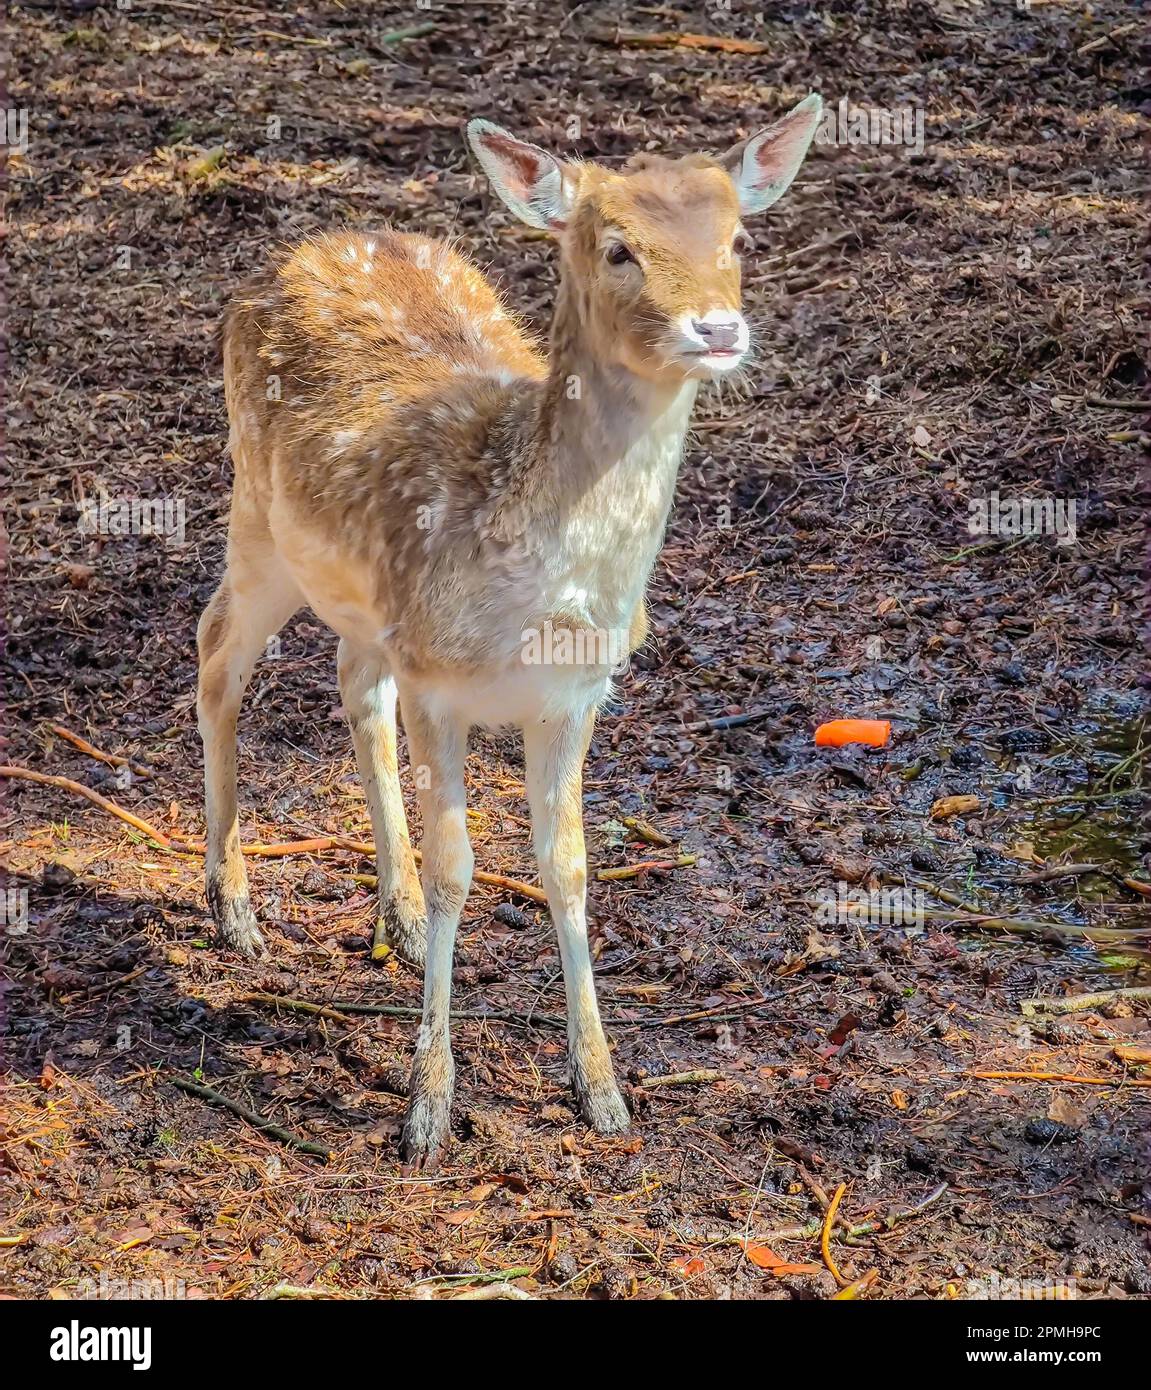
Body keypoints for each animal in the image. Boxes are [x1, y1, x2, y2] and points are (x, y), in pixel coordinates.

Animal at [197, 95, 823, 1163]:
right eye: (617, 248)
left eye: (739, 238)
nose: (717, 328)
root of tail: (295, 255)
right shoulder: (441, 687)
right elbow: (461, 869)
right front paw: (426, 1111)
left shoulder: (573, 695)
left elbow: (567, 869)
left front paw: (603, 1090)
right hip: (259, 519)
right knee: (213, 653)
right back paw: (234, 910)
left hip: (368, 603)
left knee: (351, 682)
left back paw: (396, 918)